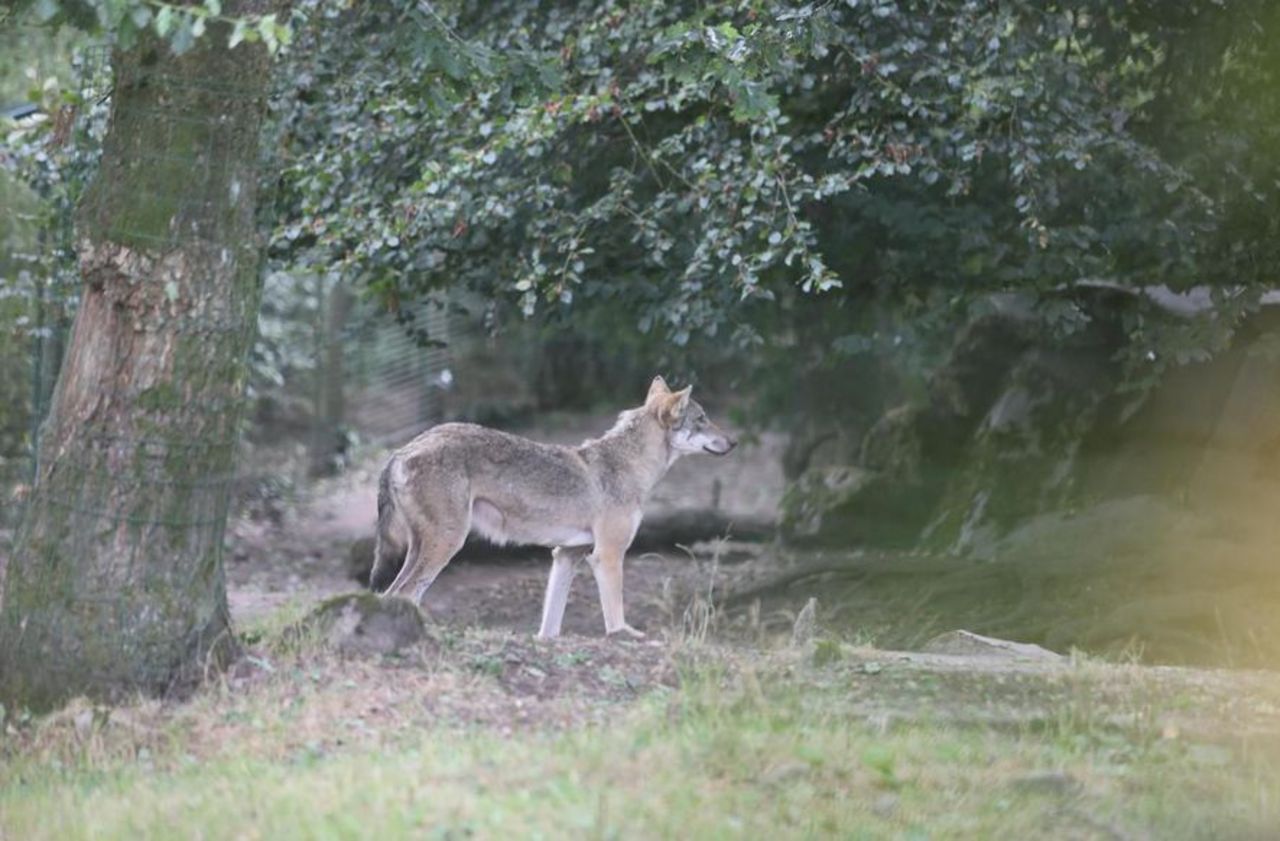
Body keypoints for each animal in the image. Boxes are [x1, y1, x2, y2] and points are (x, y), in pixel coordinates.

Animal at [370, 376, 736, 638]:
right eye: (702, 419)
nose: (734, 442)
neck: (629, 467)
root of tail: (400, 450)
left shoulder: (565, 556)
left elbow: (550, 627)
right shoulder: (607, 555)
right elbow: (615, 617)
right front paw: (624, 634)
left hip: (423, 548)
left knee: (391, 595)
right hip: (448, 543)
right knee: (404, 594)